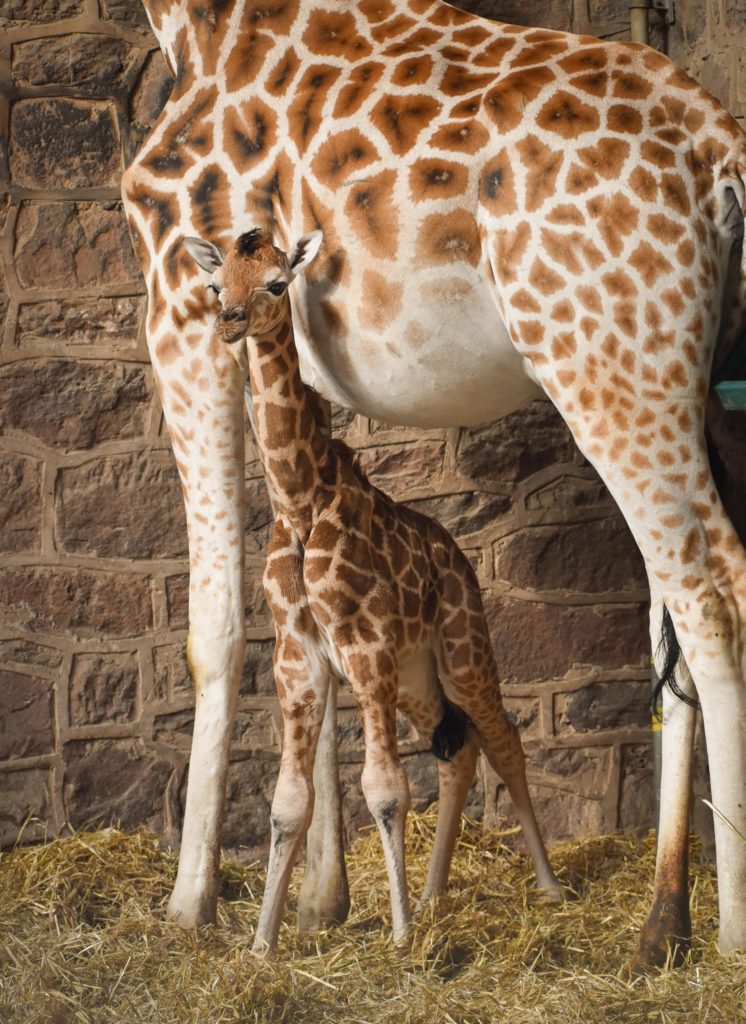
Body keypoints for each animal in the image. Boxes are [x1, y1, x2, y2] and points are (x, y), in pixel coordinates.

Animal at [183, 225, 564, 950]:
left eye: (277, 283)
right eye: (215, 286)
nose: (230, 321)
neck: (298, 500)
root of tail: (460, 560)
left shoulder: (366, 649)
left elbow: (385, 790)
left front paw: (400, 934)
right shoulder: (298, 658)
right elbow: (288, 803)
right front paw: (262, 943)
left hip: (460, 652)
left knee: (502, 739)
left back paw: (550, 886)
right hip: (417, 676)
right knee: (458, 750)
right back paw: (438, 891)